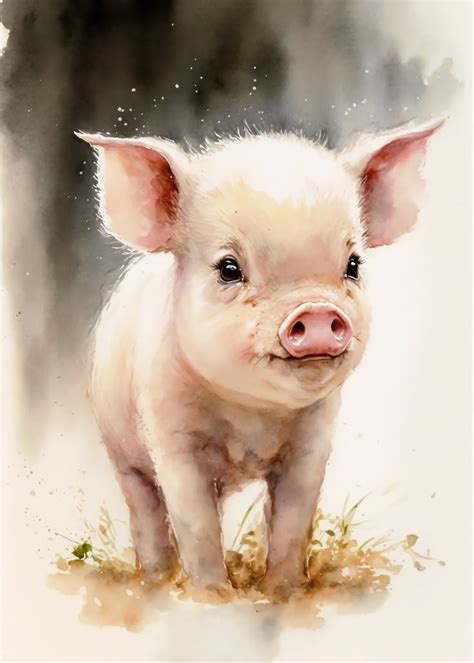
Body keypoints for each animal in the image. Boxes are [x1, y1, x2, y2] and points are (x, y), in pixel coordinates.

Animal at [77, 117, 442, 600]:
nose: (317, 312)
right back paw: (155, 581)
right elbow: (194, 521)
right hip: (121, 451)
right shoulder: (169, 434)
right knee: (146, 510)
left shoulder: (314, 438)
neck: (252, 418)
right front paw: (213, 597)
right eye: (229, 268)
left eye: (353, 265)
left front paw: (283, 593)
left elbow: (292, 520)